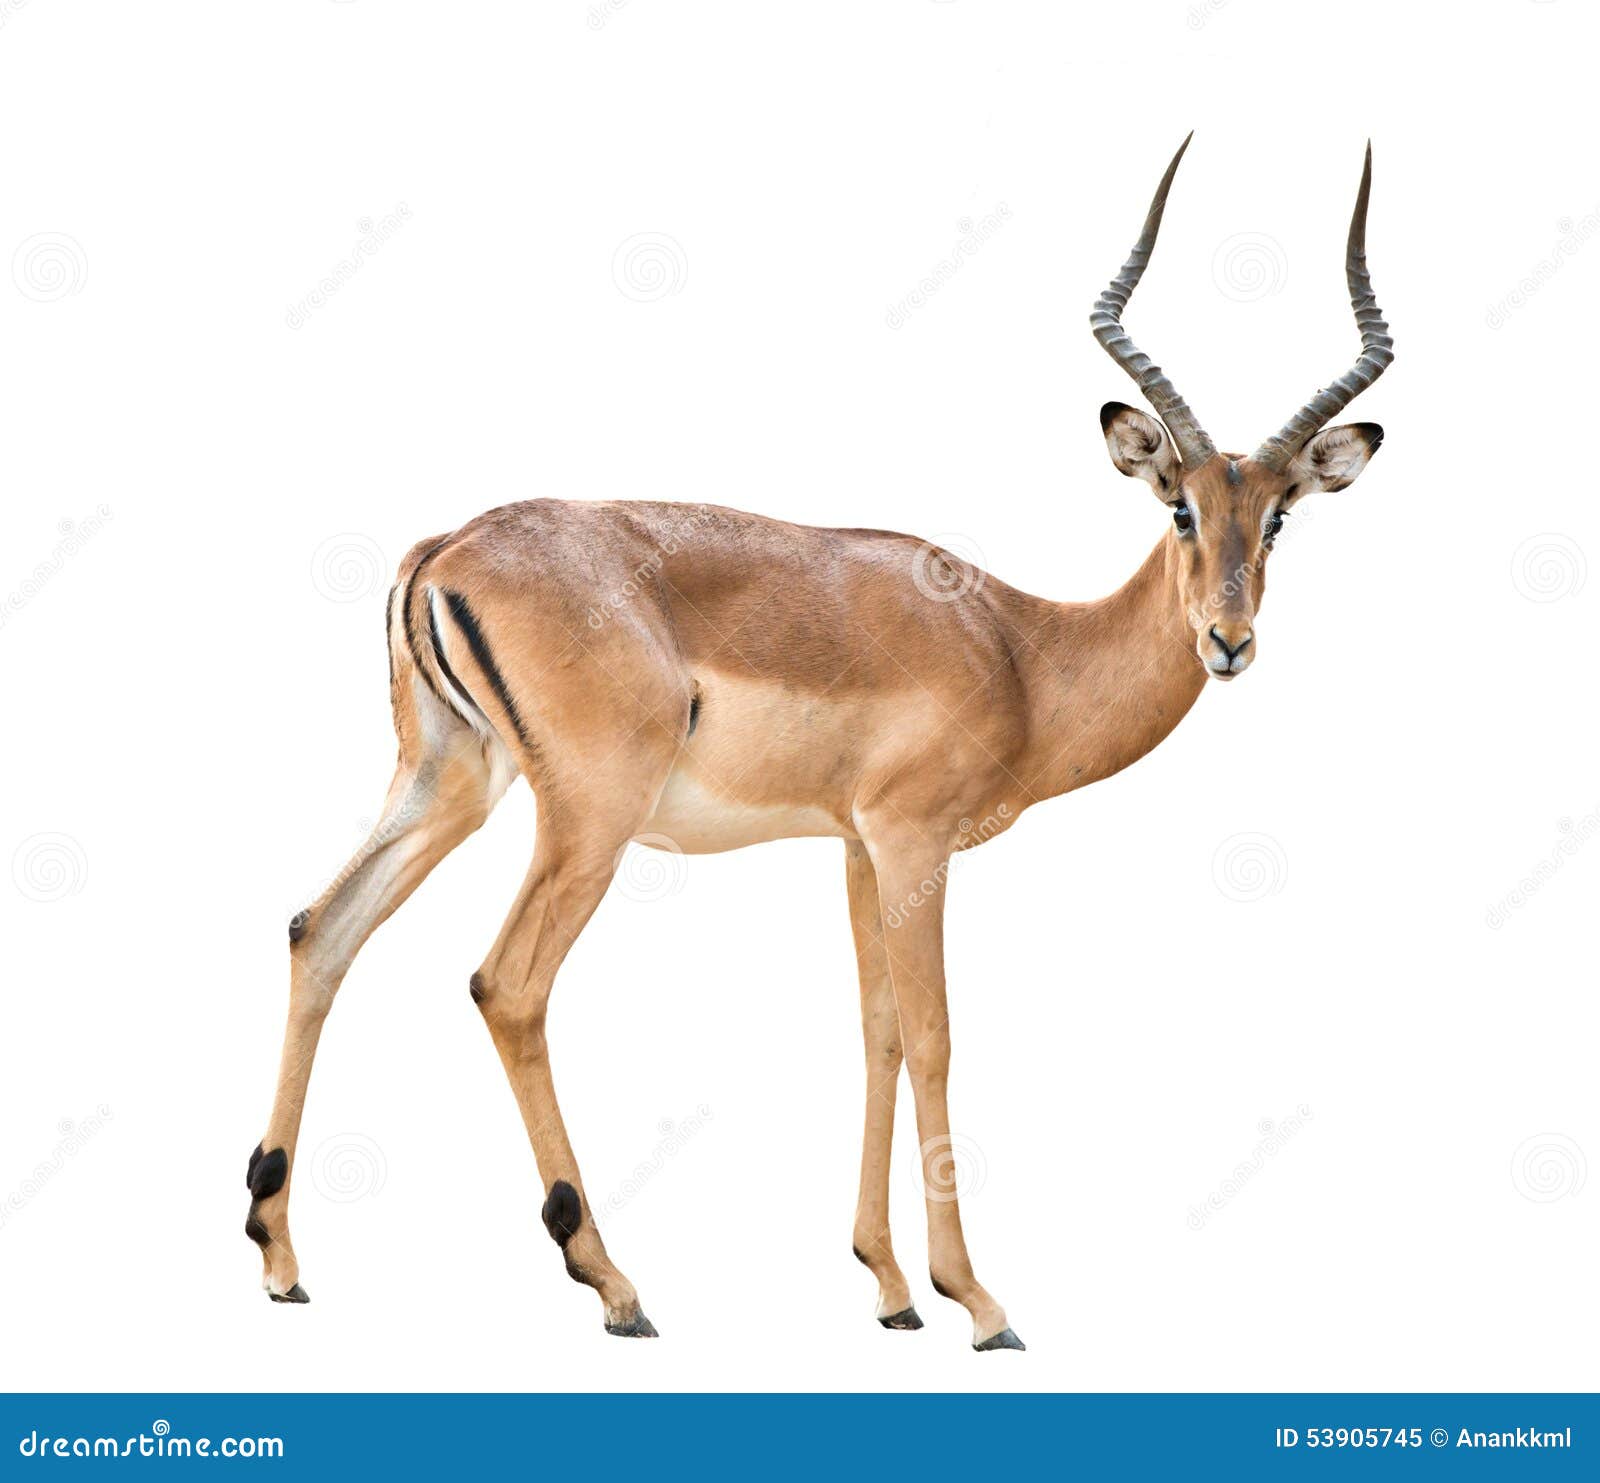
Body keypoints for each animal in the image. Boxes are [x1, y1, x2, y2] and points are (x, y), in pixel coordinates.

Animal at [248, 136, 1391, 1350]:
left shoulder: (853, 846)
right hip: (588, 819)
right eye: (1178, 507)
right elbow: (935, 1034)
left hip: (451, 782)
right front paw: (976, 1299)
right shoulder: (912, 839)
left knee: (321, 928)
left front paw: (887, 1284)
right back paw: (613, 1282)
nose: (1228, 640)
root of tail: (446, 546)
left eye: (1276, 517)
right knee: (505, 984)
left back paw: (280, 1255)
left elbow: (875, 1030)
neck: (1020, 649)